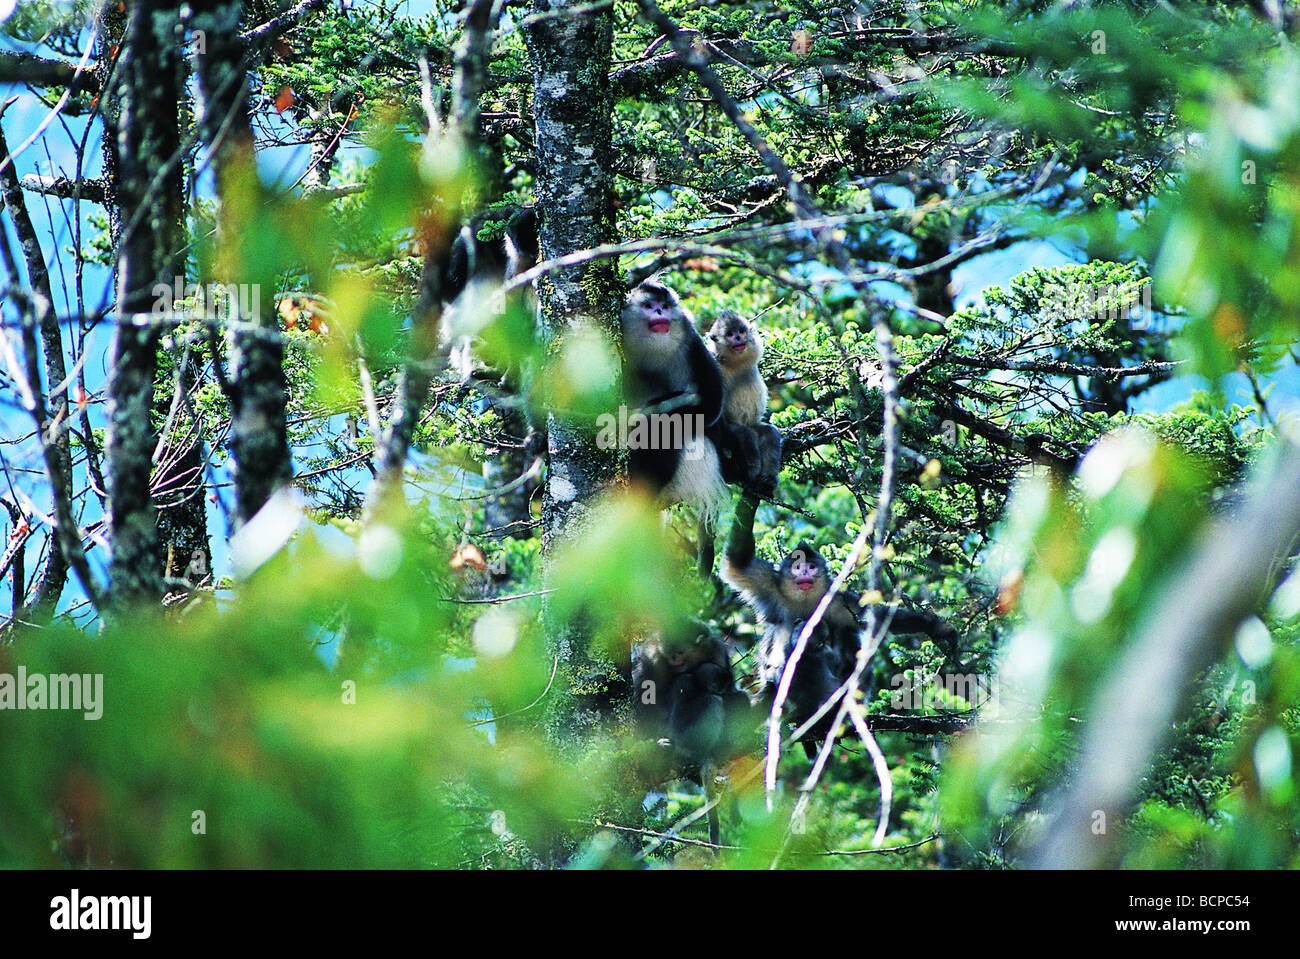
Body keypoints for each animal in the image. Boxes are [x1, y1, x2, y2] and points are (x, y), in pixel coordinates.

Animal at [706, 310, 782, 496]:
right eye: (730, 334)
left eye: (741, 331)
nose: (738, 338)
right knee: (746, 434)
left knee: (769, 433)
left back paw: (767, 481)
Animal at [720, 493, 955, 759]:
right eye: (797, 566)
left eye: (811, 566)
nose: (804, 571)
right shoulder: (770, 585)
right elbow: (736, 564)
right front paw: (753, 492)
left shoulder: (836, 600)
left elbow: (876, 617)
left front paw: (935, 627)